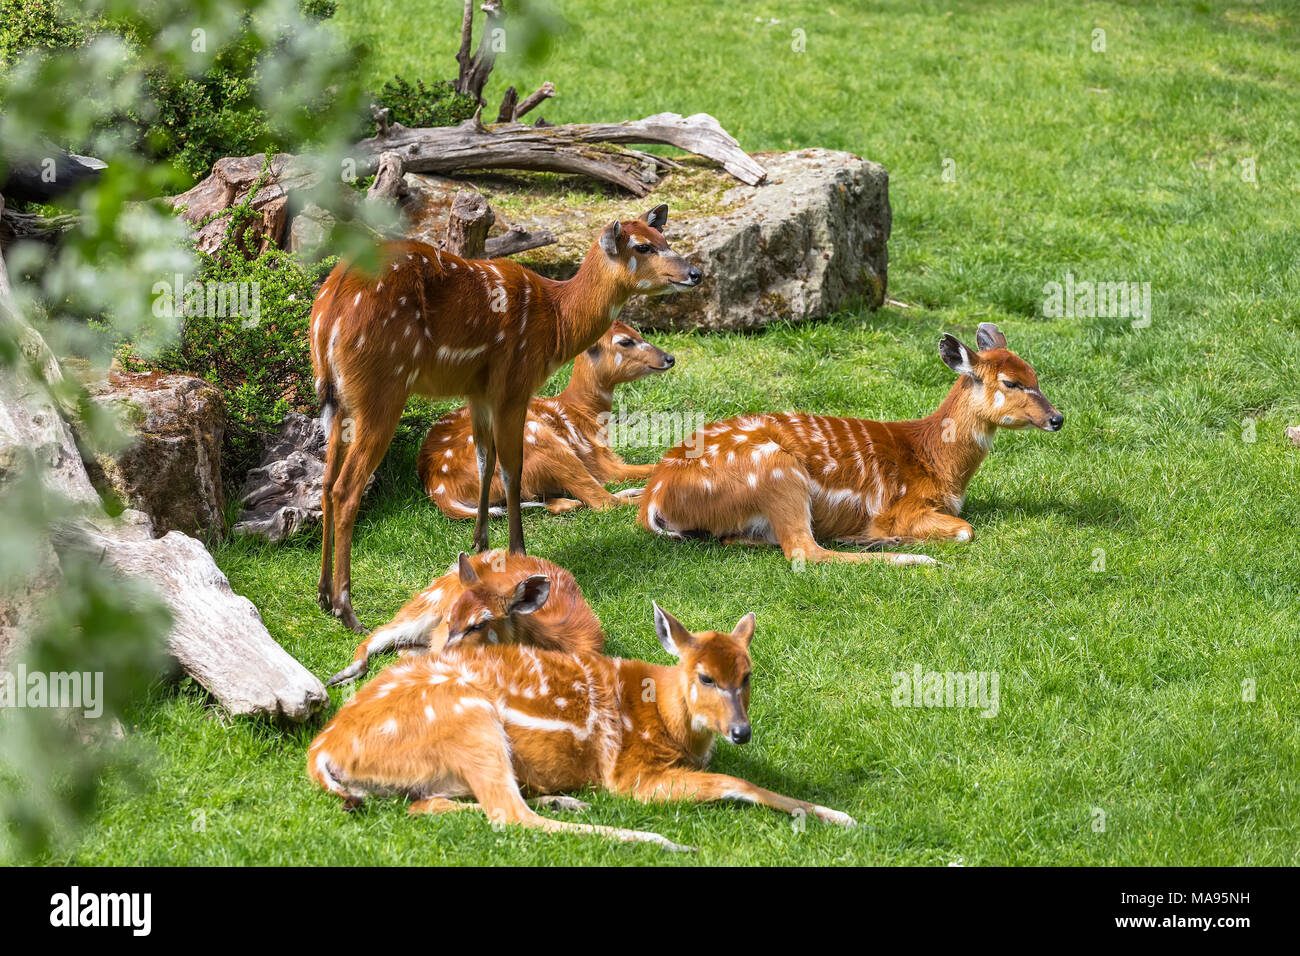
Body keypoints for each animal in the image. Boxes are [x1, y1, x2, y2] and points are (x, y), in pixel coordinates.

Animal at [308, 604, 856, 852]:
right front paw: (842, 816)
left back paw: (562, 799)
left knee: (429, 805)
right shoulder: (632, 773)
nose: (741, 732)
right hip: (467, 718)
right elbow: (734, 780)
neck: (668, 722)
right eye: (705, 677)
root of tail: (323, 750)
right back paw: (661, 841)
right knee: (508, 815)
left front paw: (835, 814)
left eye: (747, 674)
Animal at [325, 550, 603, 688]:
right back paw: (342, 677)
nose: (442, 653)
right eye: (449, 619)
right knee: (377, 634)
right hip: (426, 604)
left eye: (479, 624)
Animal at [417, 321, 674, 518]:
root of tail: (440, 488)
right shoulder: (599, 462)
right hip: (541, 441)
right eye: (625, 341)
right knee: (602, 501)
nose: (669, 358)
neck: (583, 413)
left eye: (638, 332)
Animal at [637, 323, 1063, 563]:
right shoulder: (904, 507)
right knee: (804, 552)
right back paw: (906, 555)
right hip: (777, 471)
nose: (1057, 418)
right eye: (1011, 382)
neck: (936, 461)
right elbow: (965, 529)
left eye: (1036, 375)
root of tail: (655, 498)